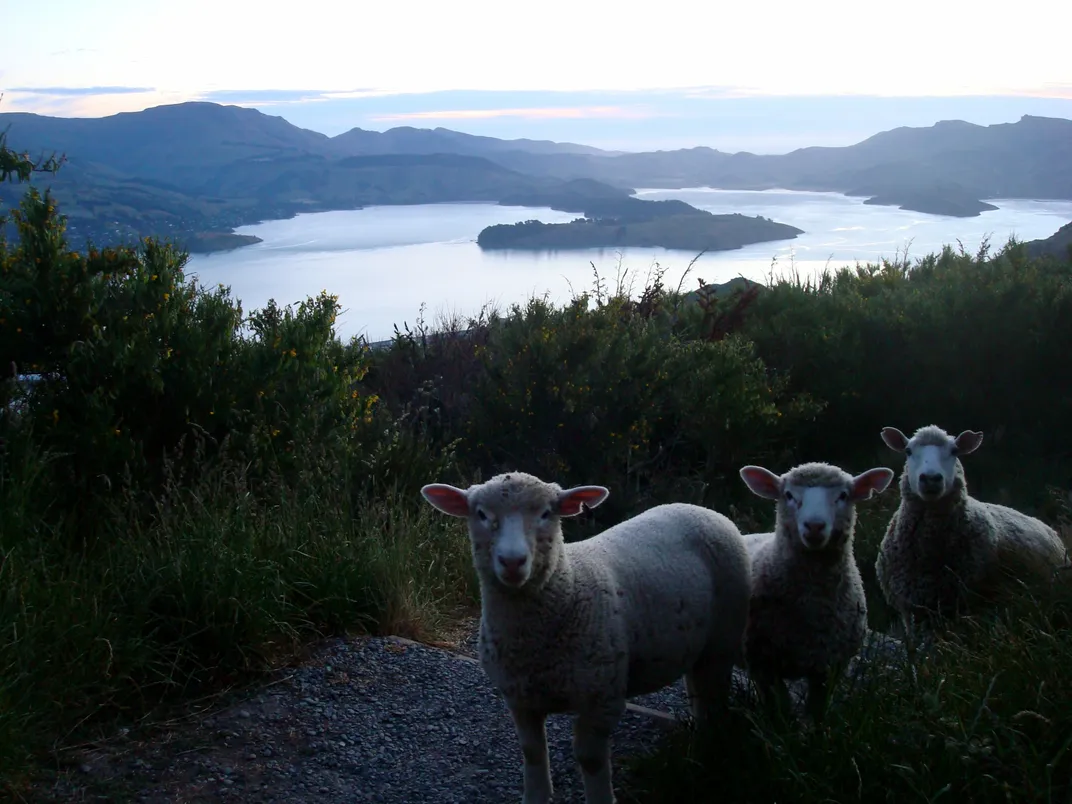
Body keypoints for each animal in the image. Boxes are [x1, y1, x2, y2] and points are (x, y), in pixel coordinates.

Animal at [421, 471, 751, 804]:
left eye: (546, 513)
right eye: (481, 514)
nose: (512, 561)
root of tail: (698, 507)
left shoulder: (602, 698)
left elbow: (589, 759)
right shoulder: (519, 698)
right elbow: (532, 753)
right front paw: (536, 794)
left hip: (724, 639)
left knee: (714, 696)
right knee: (698, 688)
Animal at [738, 461, 895, 720]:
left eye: (843, 495)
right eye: (789, 495)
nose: (814, 526)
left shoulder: (830, 668)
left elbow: (816, 713)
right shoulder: (763, 664)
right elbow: (781, 711)